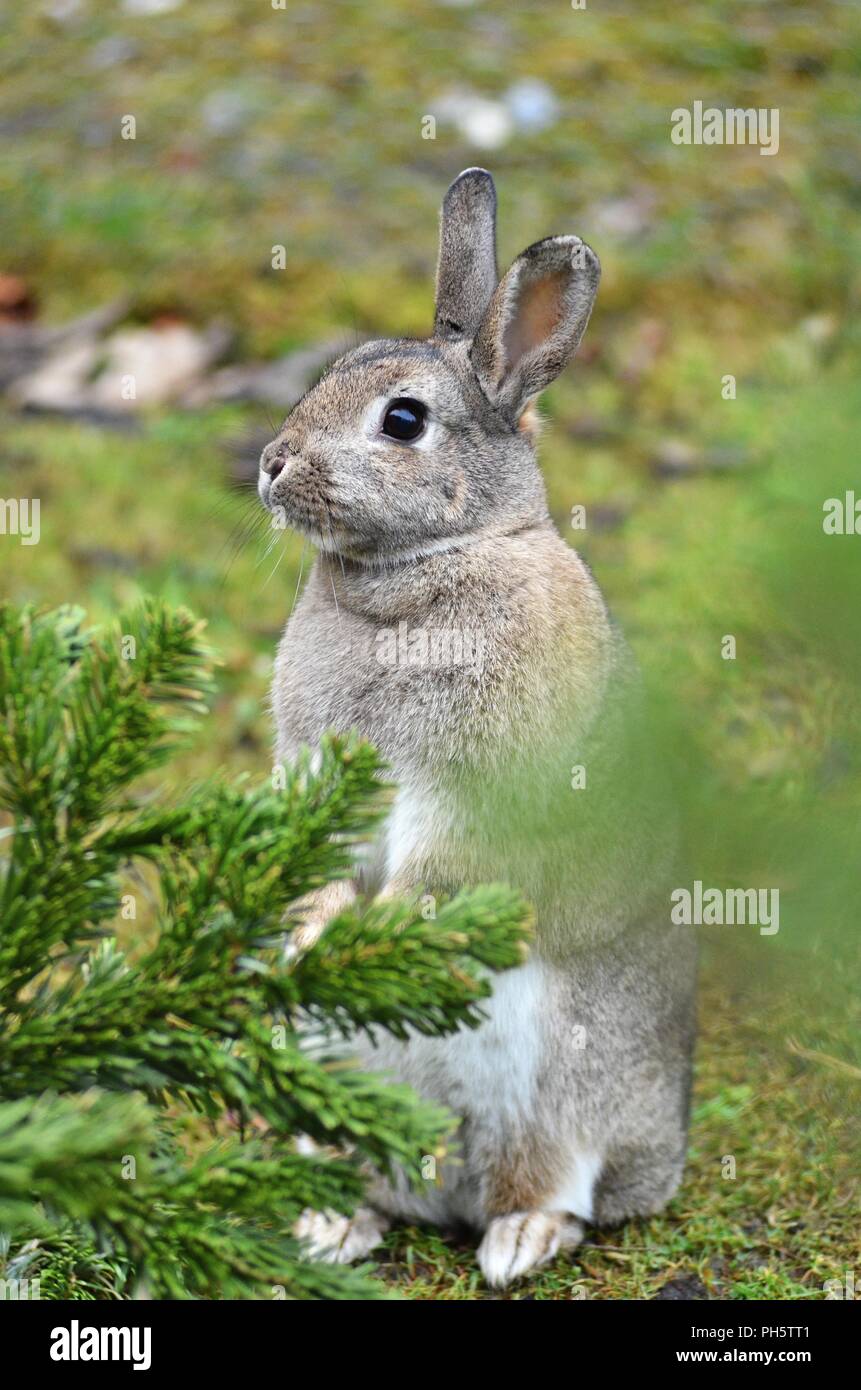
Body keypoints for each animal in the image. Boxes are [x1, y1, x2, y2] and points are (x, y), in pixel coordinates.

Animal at [261, 168, 697, 1289]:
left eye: (403, 419)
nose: (272, 465)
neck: (425, 569)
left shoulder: (475, 796)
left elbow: (439, 877)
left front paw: (350, 936)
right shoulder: (311, 771)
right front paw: (307, 934)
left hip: (575, 1087)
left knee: (559, 1184)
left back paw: (517, 1239)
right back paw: (334, 1222)